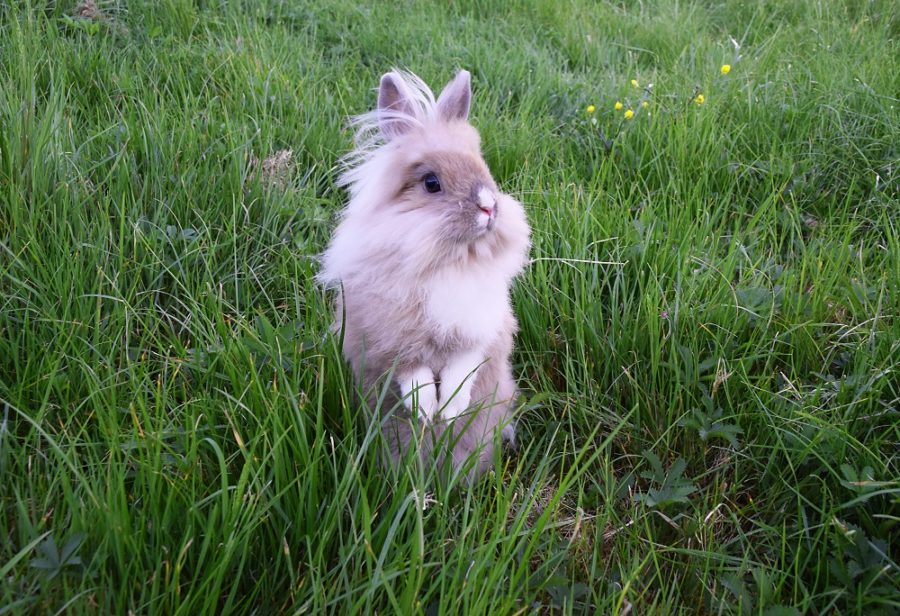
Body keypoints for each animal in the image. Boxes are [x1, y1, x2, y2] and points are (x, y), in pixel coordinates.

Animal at [317, 68, 531, 478]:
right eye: (432, 183)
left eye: (483, 165)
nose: (489, 207)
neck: (447, 261)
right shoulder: (387, 342)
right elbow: (412, 372)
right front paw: (427, 411)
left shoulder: (481, 331)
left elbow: (464, 366)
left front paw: (450, 408)